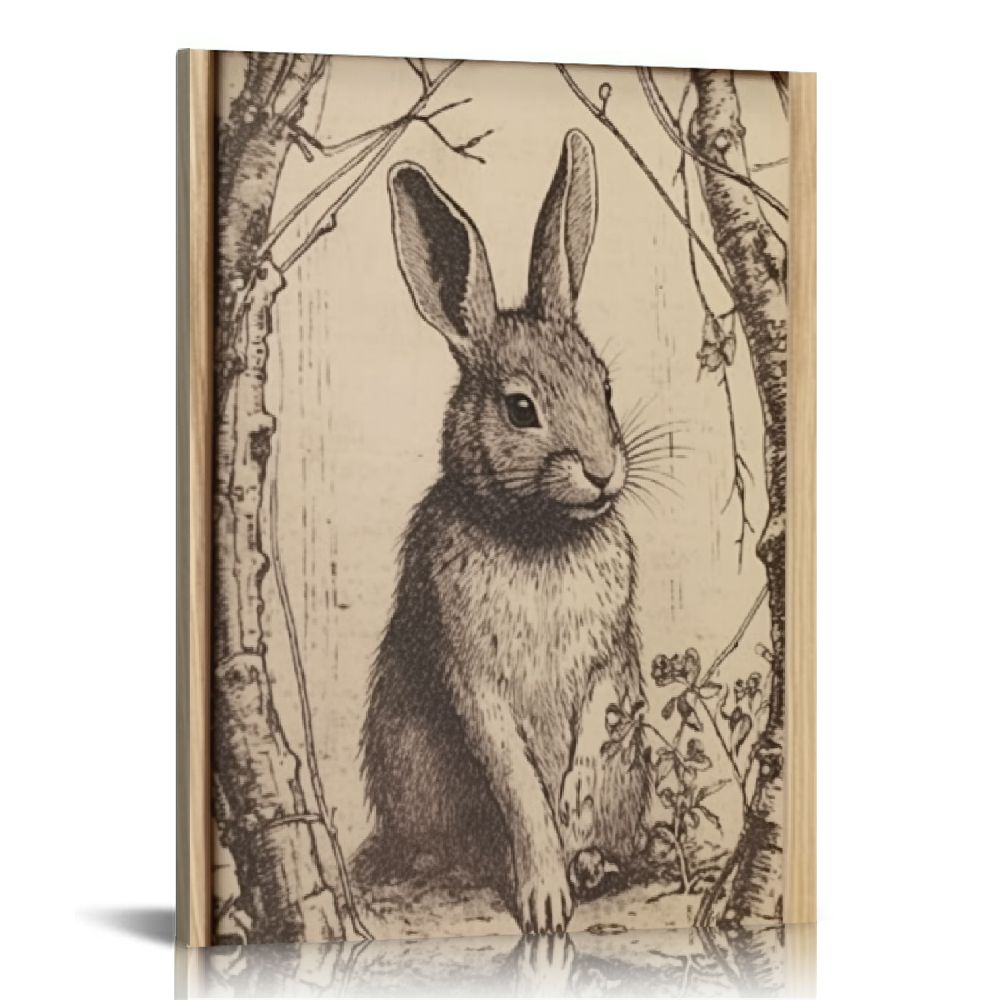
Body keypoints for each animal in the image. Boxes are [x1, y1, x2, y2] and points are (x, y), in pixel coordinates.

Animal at [359, 129, 650, 935]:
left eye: (604, 386)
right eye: (521, 409)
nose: (602, 472)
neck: (539, 533)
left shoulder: (611, 655)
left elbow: (596, 728)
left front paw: (576, 815)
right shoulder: (473, 680)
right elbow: (519, 787)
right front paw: (545, 904)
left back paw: (598, 861)